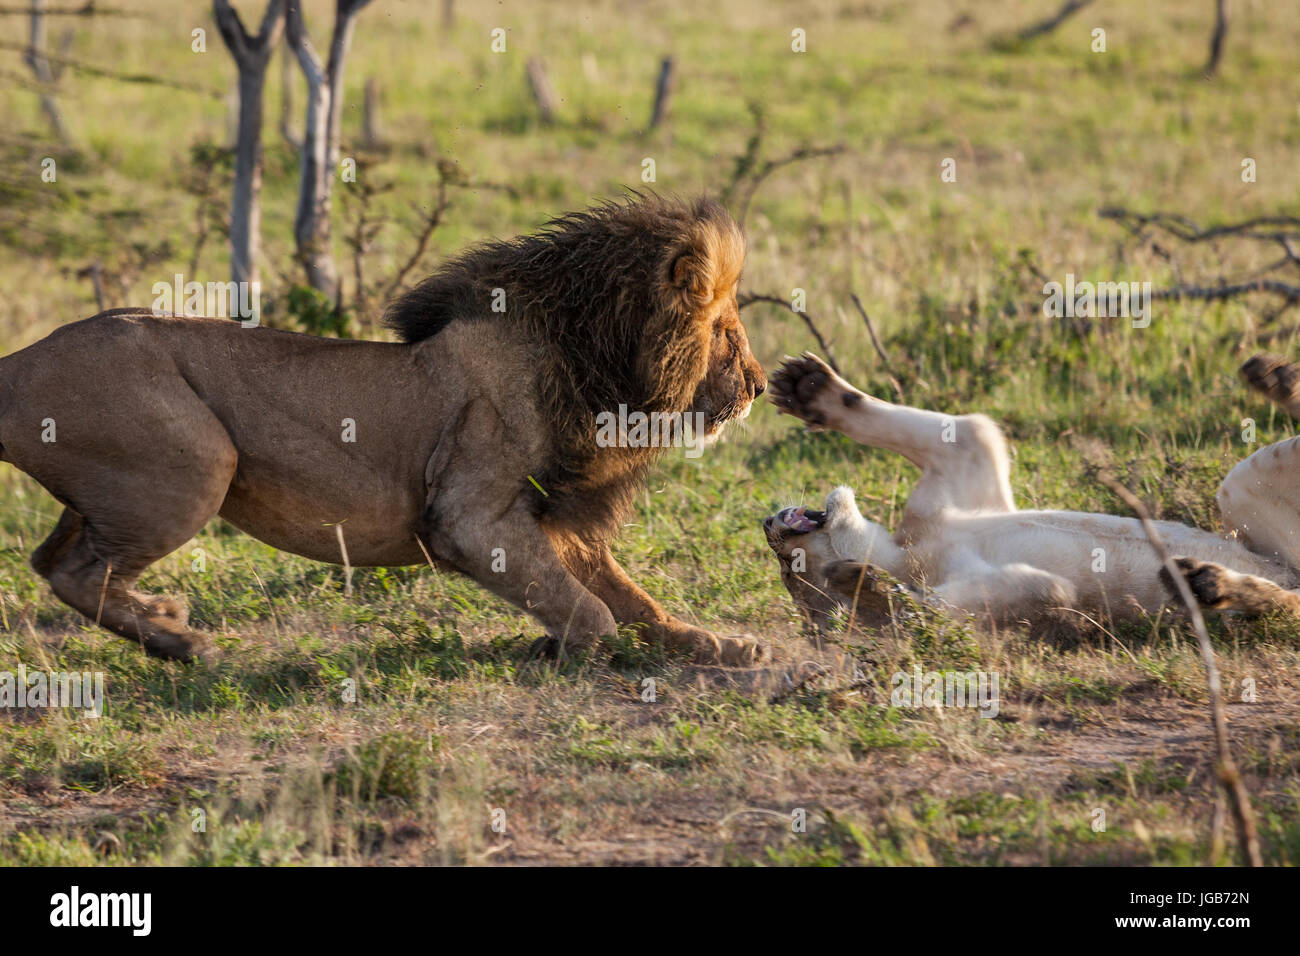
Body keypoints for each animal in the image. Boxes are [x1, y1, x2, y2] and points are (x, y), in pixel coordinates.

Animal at [0, 195, 768, 665]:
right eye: (729, 336)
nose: (761, 387)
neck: (593, 364)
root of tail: (18, 363)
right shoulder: (469, 518)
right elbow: (592, 611)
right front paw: (564, 650)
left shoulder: (550, 515)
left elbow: (634, 599)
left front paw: (727, 646)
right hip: (198, 461)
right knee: (75, 571)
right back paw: (180, 639)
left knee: (51, 559)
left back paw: (164, 627)